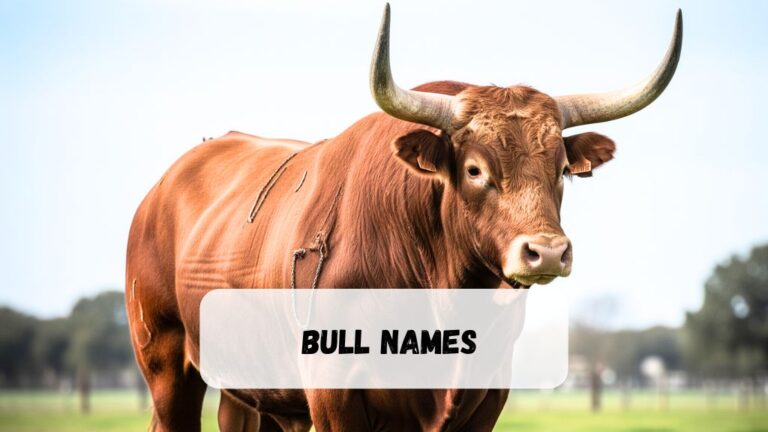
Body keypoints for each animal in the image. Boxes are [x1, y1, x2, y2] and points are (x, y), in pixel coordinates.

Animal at [125, 5, 682, 431]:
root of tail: (159, 192)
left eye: (563, 168)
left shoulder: (487, 395)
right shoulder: (334, 394)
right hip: (167, 369)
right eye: (474, 169)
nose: (546, 252)